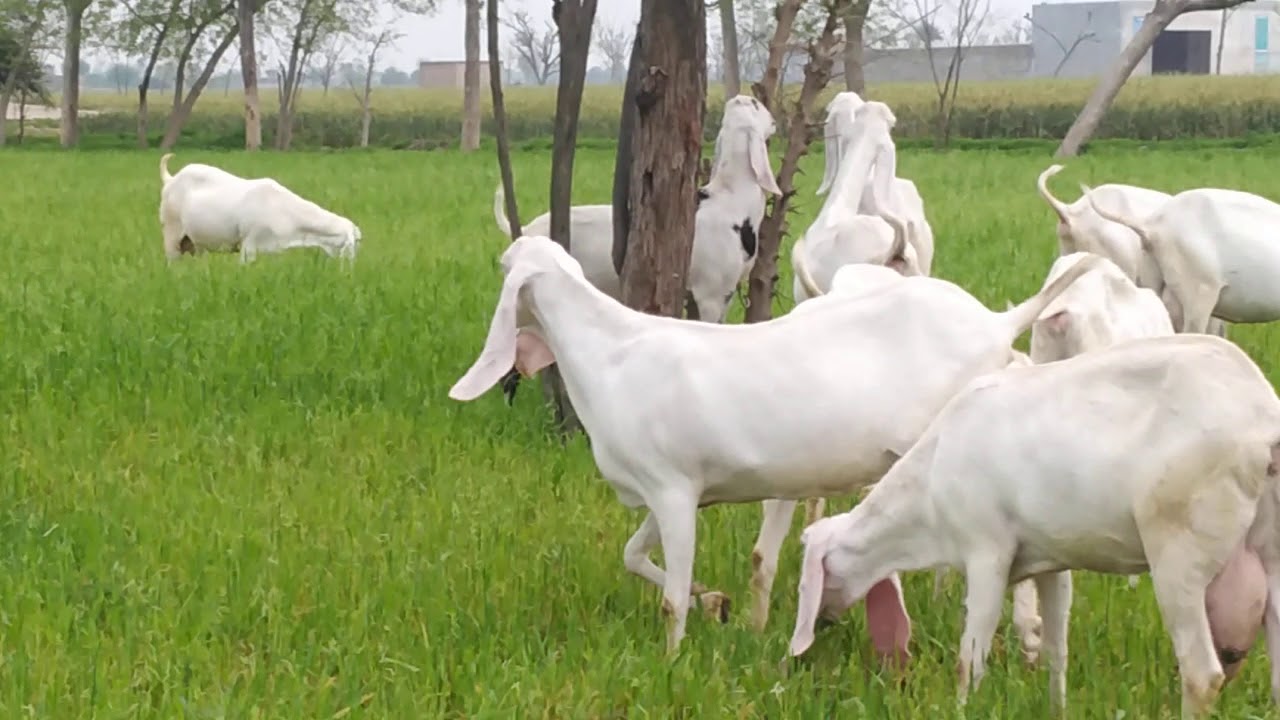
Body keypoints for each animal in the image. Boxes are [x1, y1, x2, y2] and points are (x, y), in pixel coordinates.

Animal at [449, 234, 1101, 655]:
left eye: (504, 265)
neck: (611, 352)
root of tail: (998, 323)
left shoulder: (673, 489)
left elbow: (670, 598)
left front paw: (673, 659)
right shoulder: (674, 495)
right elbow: (634, 556)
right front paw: (717, 603)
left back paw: (1028, 633)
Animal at [789, 333, 1280, 720]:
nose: (822, 625)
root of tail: (1262, 418)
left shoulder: (986, 552)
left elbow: (970, 658)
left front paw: (962, 708)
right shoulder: (1053, 561)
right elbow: (1055, 651)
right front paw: (1055, 709)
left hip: (1180, 550)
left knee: (1201, 675)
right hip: (1271, 553)